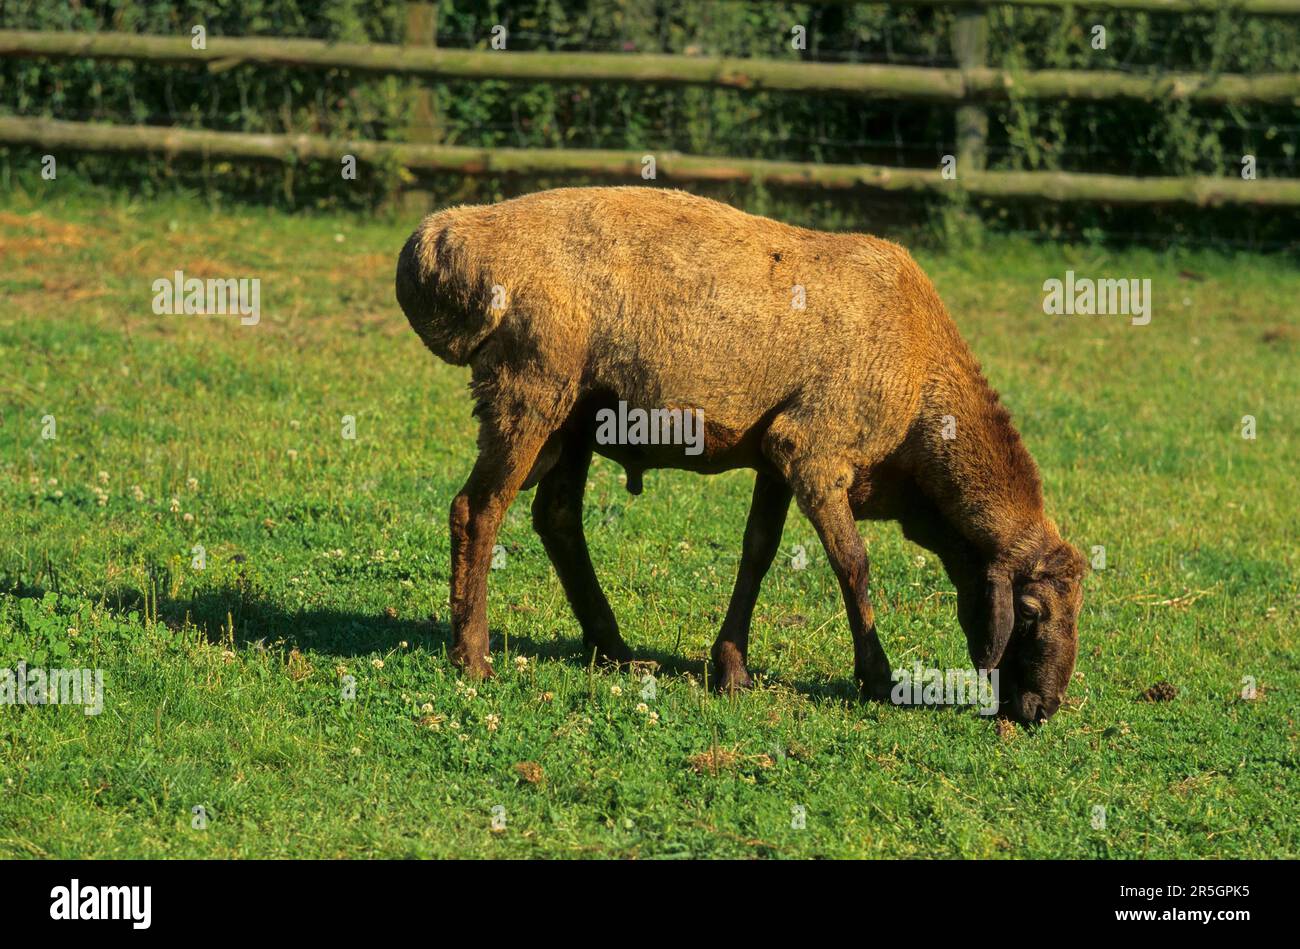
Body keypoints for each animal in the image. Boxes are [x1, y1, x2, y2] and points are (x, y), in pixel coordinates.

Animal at [395, 186, 1087, 724]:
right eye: (1031, 609)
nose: (1042, 710)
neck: (921, 395)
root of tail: (446, 236)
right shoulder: (814, 447)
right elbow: (854, 564)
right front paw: (877, 678)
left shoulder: (776, 453)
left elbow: (758, 552)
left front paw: (731, 668)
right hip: (530, 387)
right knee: (477, 510)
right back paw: (473, 658)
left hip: (576, 413)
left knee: (557, 518)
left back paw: (614, 648)